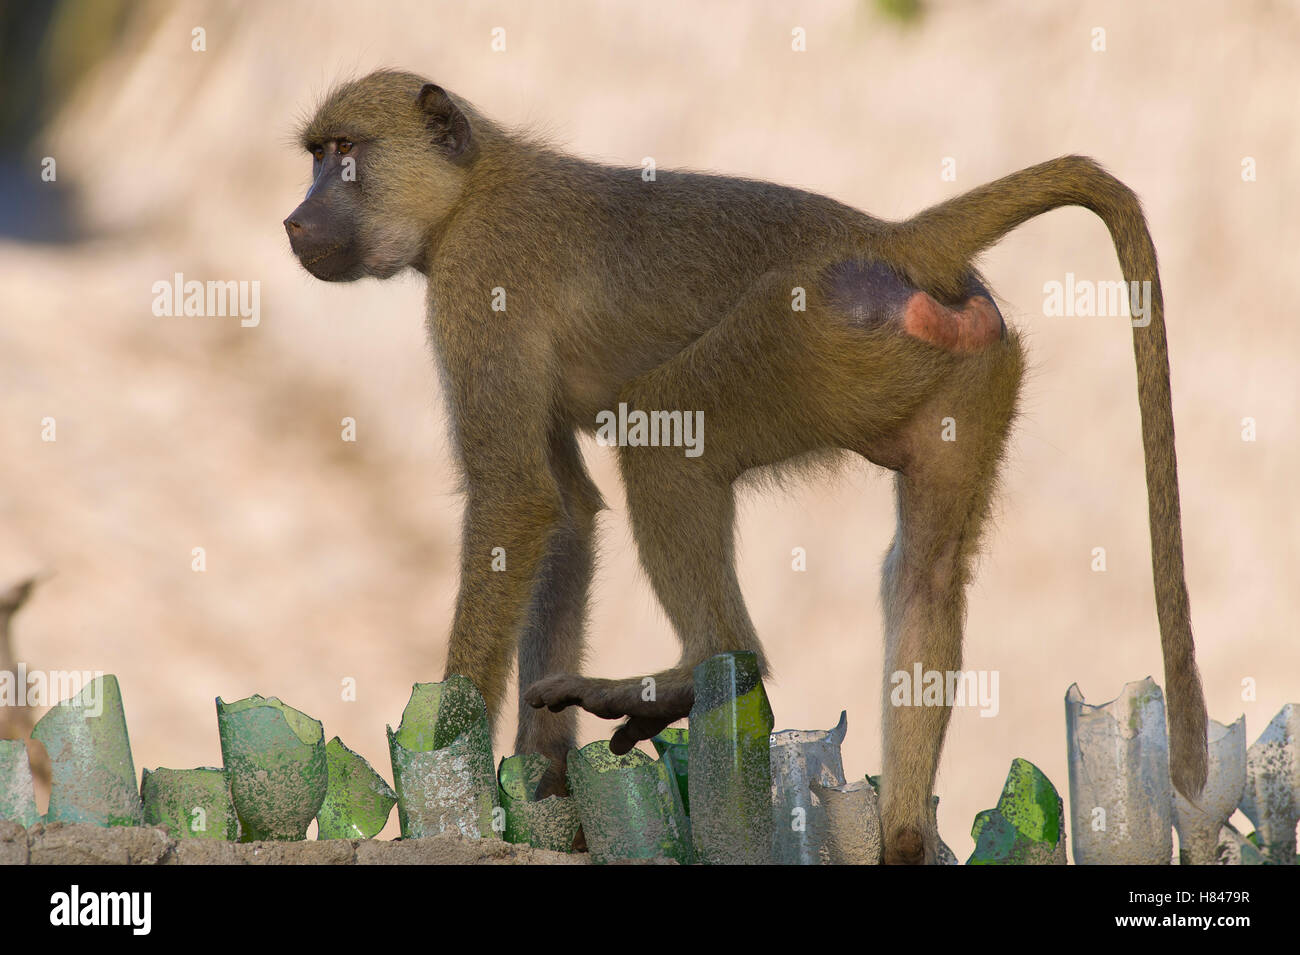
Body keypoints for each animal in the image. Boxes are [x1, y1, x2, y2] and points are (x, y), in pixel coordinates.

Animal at [285, 69, 1207, 864]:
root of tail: (886, 238)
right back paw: (904, 836)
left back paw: (702, 671)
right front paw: (540, 784)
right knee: (929, 571)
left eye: (346, 152)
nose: (297, 220)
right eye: (316, 155)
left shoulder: (479, 281)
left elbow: (517, 498)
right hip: (962, 363)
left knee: (661, 437)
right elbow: (568, 513)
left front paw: (448, 764)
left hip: (800, 338)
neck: (472, 185)